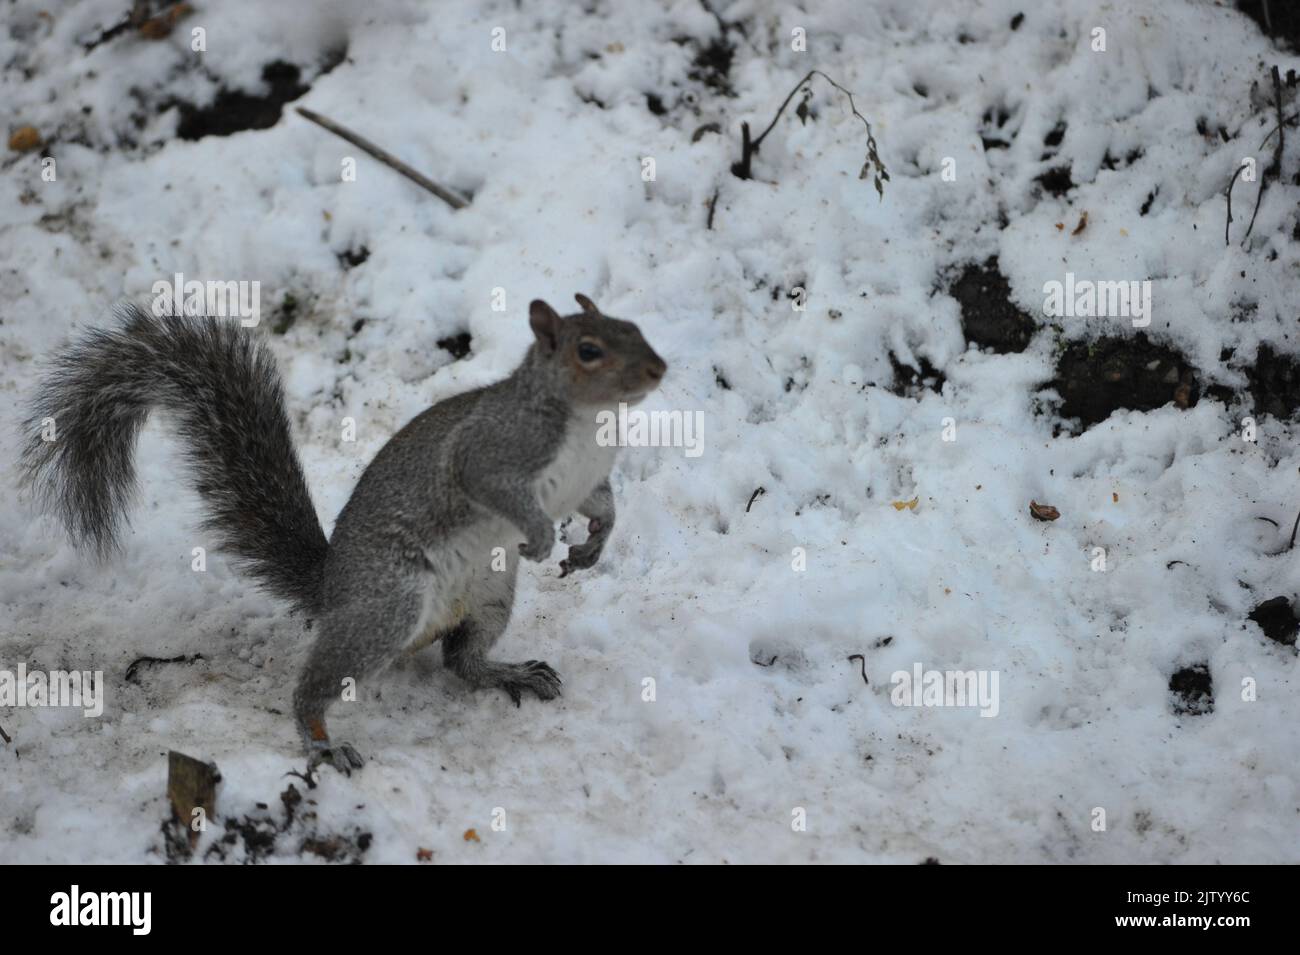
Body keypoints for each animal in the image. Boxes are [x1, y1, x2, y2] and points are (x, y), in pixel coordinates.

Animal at [20, 294, 667, 773]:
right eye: (589, 350)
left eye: (634, 327)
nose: (659, 369)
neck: (586, 420)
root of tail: (332, 592)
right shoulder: (491, 455)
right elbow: (497, 489)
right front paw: (540, 536)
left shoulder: (586, 480)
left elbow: (602, 506)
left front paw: (593, 545)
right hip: (388, 607)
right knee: (317, 685)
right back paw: (319, 741)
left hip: (489, 594)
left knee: (460, 661)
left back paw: (507, 672)